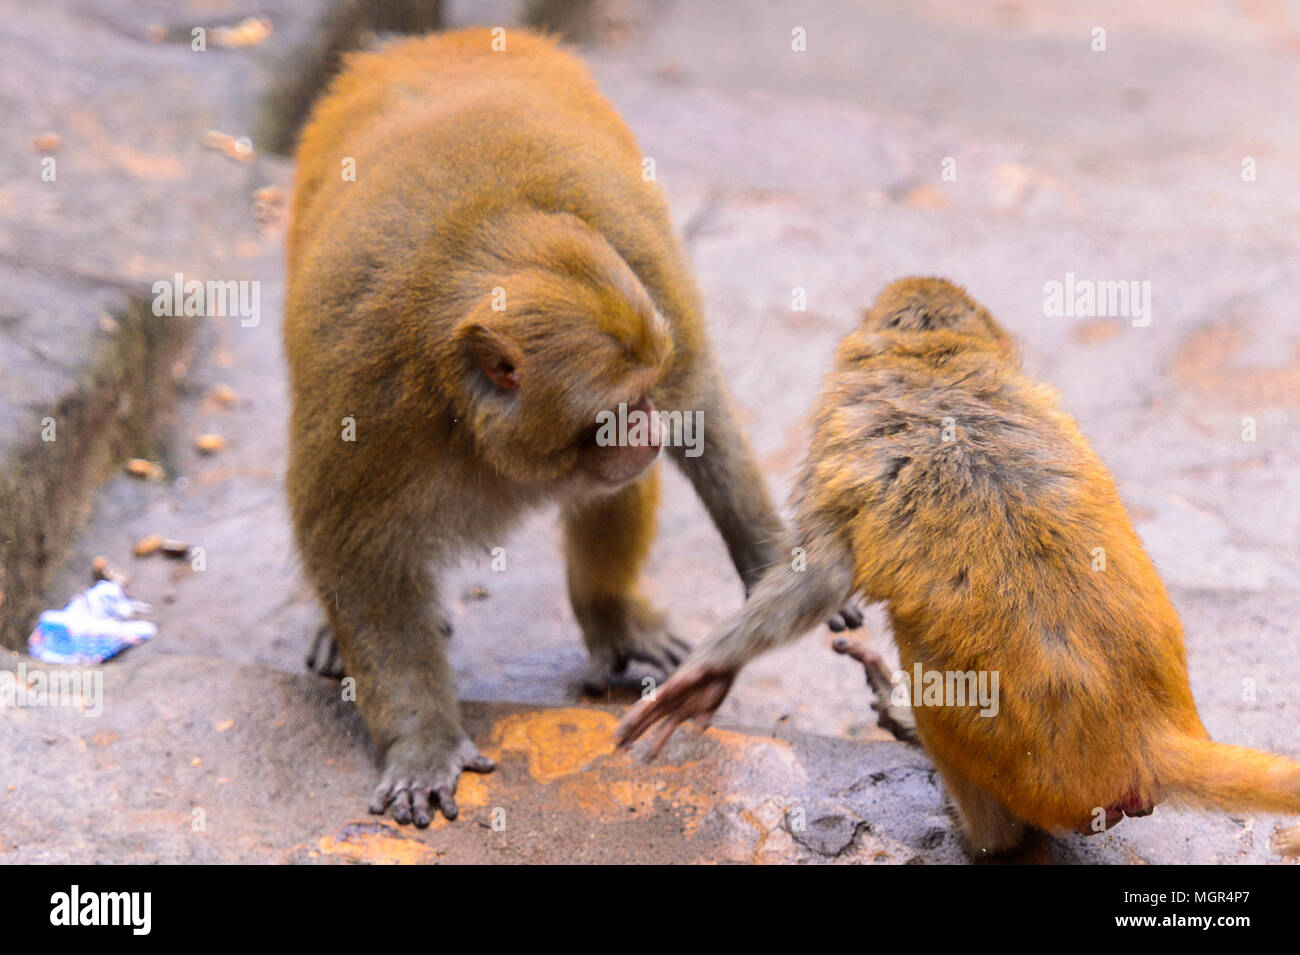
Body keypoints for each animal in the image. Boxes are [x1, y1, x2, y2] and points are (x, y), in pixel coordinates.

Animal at [283, 29, 860, 827]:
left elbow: (704, 409)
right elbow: (356, 551)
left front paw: (774, 566)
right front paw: (422, 741)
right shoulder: (363, 394)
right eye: (616, 410)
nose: (648, 429)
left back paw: (612, 618)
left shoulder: (650, 283)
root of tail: (439, 40)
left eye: (646, 393)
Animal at [619, 277, 1300, 857]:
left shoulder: (837, 432)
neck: (929, 365)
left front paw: (707, 672)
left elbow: (820, 575)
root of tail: (1147, 736)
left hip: (1021, 766)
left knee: (922, 657)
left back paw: (978, 827)